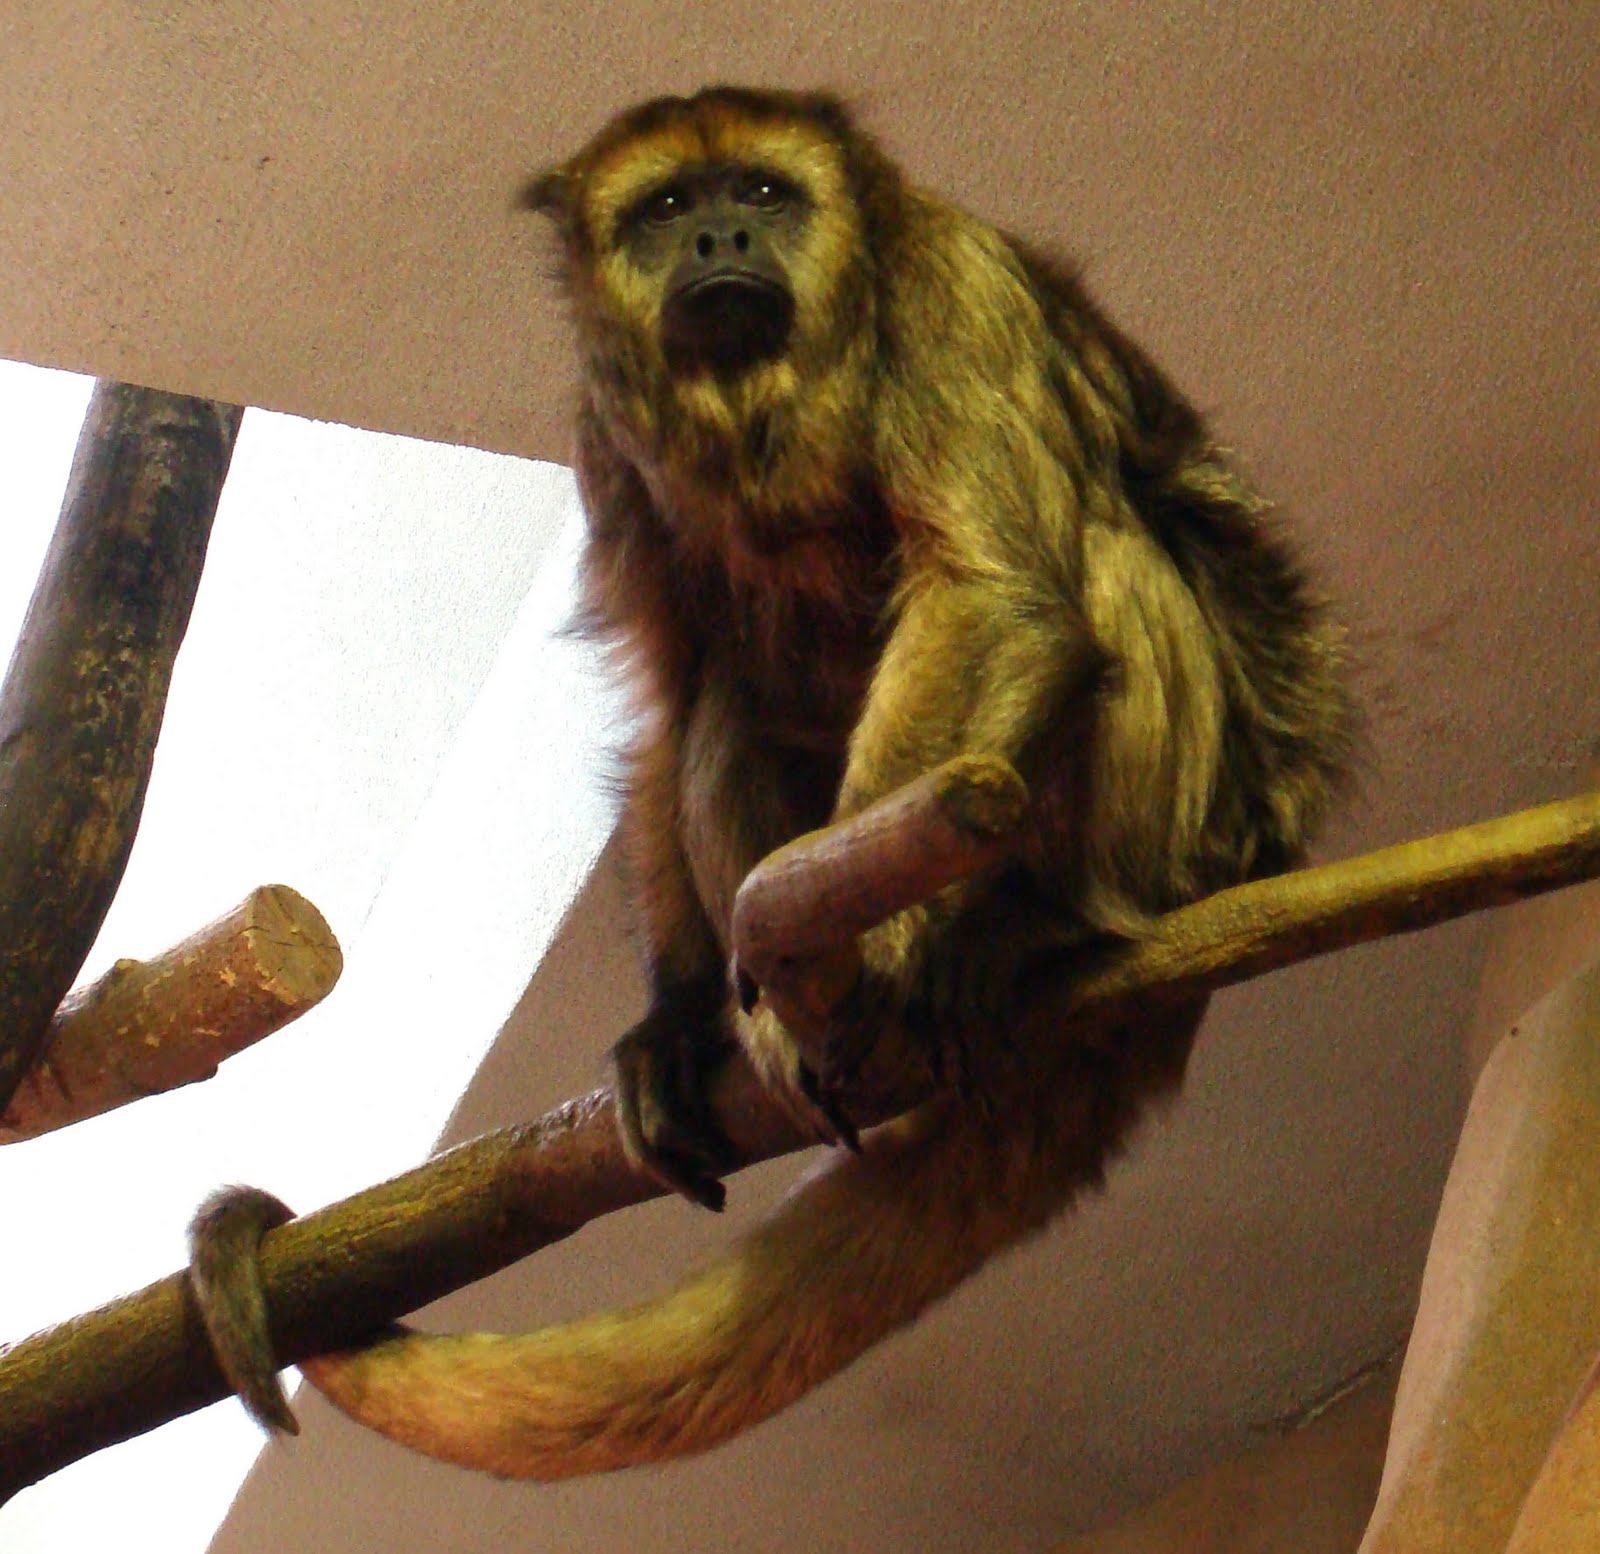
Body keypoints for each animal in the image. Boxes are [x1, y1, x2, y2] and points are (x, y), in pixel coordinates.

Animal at [186, 85, 1354, 1479]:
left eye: (760, 192)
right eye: (666, 209)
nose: (719, 242)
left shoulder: (957, 284)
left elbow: (997, 590)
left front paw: (886, 946)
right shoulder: (601, 432)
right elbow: (668, 697)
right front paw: (675, 1022)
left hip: (1209, 828)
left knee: (1107, 546)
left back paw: (1041, 926)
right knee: (725, 705)